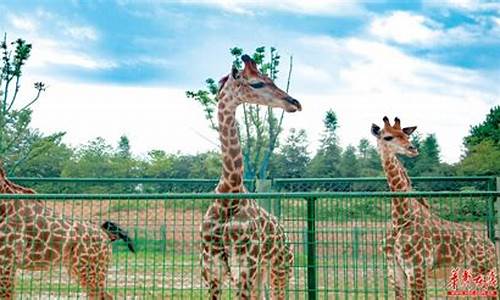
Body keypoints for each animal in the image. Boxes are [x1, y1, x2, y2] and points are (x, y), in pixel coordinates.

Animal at [199, 54, 300, 300]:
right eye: (257, 83)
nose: (295, 102)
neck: (229, 196)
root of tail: (286, 237)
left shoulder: (244, 269)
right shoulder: (211, 274)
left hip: (280, 268)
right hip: (261, 273)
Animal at [372, 116, 496, 298]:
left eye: (406, 135)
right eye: (388, 137)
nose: (412, 149)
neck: (401, 218)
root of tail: (492, 246)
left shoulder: (417, 269)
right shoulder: (395, 270)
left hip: (484, 271)